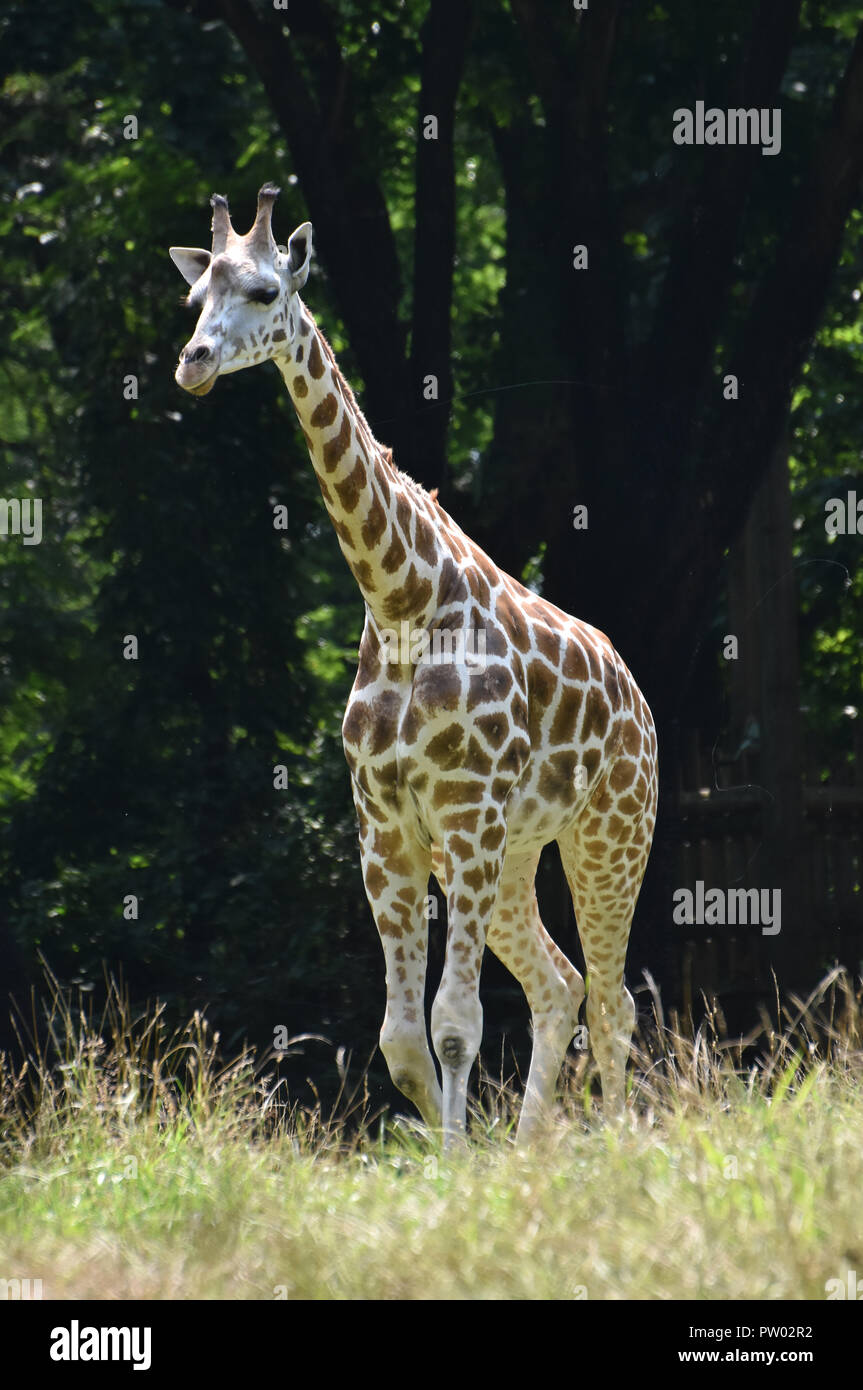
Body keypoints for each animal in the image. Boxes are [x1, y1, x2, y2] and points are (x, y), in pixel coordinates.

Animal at [170, 184, 658, 1147]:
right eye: (195, 297)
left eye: (265, 291)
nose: (193, 364)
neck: (398, 598)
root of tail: (637, 698)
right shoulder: (386, 824)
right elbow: (400, 1041)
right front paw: (452, 1159)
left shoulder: (464, 811)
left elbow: (455, 1024)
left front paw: (459, 1160)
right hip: (514, 852)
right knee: (560, 985)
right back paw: (527, 1153)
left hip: (609, 833)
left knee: (612, 999)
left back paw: (612, 1141)